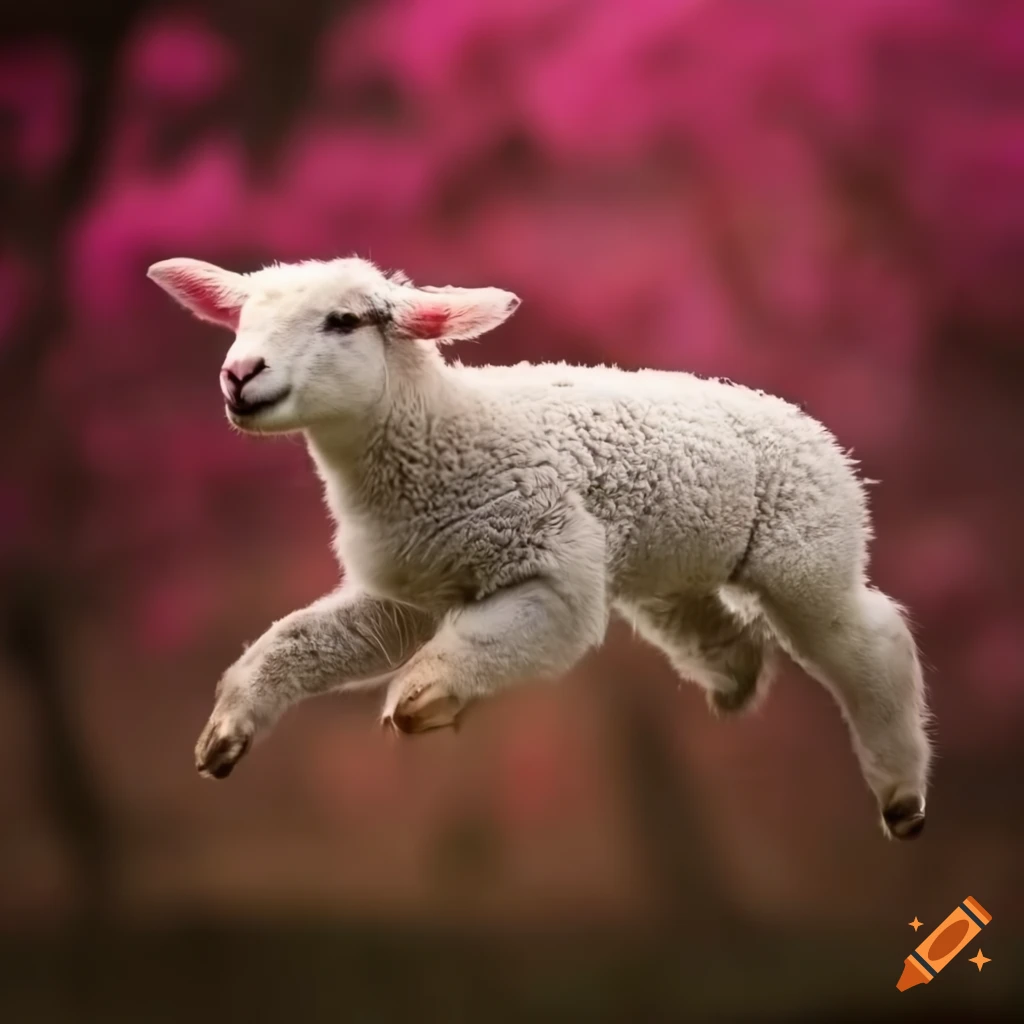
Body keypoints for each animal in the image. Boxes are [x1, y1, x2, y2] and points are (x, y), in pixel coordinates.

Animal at [147, 254, 931, 840]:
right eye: (242, 319)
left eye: (342, 321)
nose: (239, 374)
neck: (442, 436)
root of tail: (805, 419)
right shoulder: (405, 591)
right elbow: (299, 642)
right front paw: (226, 734)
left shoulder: (550, 565)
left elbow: (486, 642)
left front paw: (426, 698)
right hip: (667, 563)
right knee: (713, 626)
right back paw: (738, 680)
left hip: (807, 546)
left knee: (869, 638)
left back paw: (901, 795)